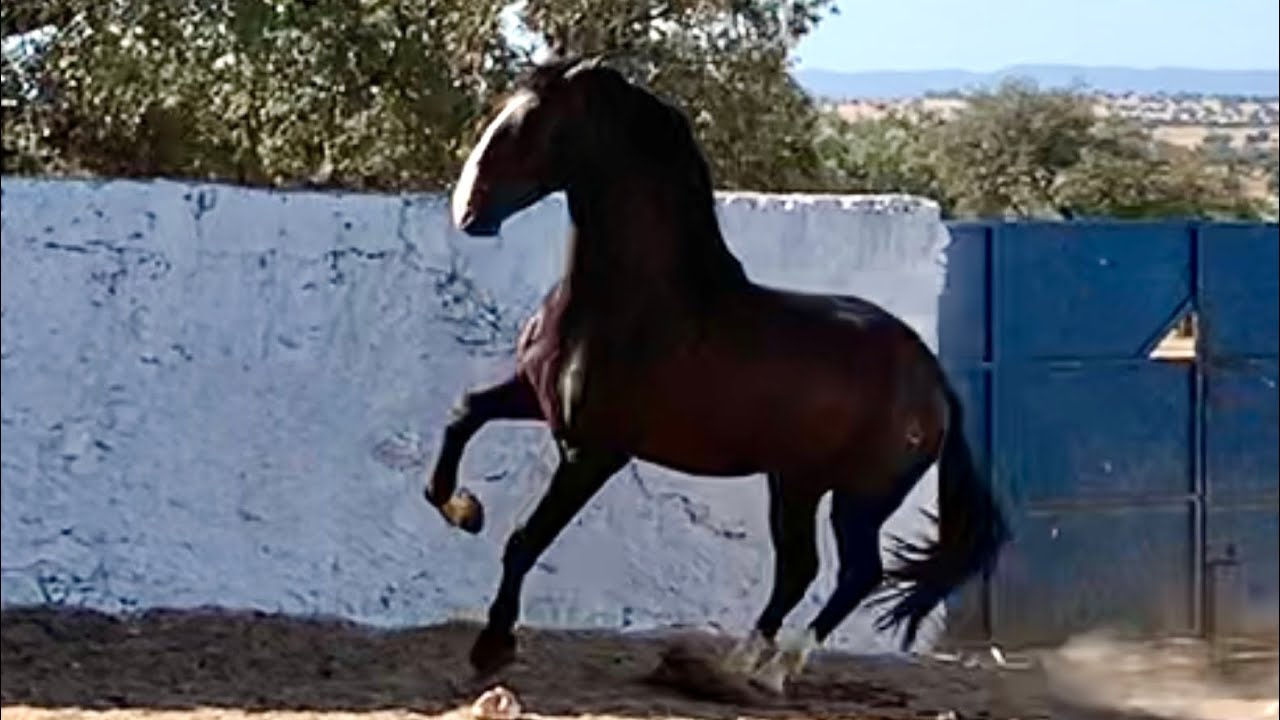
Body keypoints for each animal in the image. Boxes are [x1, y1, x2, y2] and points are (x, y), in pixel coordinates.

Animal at [425, 55, 1009, 695]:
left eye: (534, 123)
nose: (467, 211)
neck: (630, 305)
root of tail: (935, 382)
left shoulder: (593, 453)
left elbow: (525, 539)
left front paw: (492, 647)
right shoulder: (536, 398)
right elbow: (462, 414)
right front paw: (463, 510)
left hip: (857, 499)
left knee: (859, 572)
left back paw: (776, 672)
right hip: (795, 483)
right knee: (800, 569)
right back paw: (738, 664)